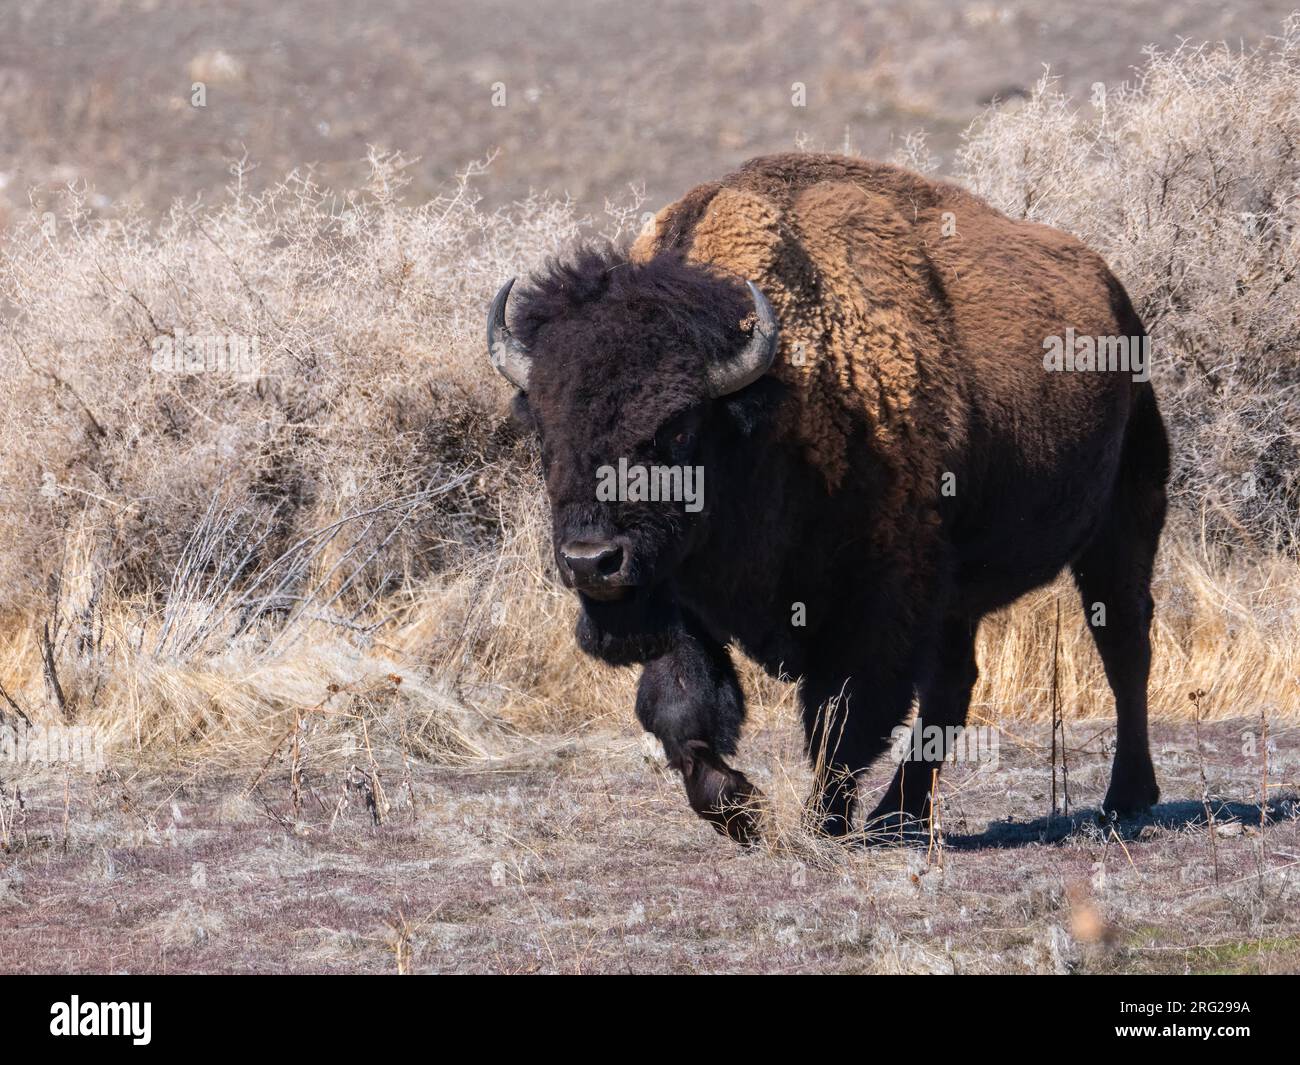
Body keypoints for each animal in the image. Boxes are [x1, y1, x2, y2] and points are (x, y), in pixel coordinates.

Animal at [487, 153, 1169, 843]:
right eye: (541, 426)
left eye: (677, 426)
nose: (591, 562)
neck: (768, 408)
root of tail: (1117, 298)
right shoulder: (675, 597)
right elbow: (679, 706)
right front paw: (741, 809)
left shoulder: (877, 597)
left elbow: (843, 716)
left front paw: (822, 822)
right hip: (963, 593)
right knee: (956, 683)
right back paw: (899, 815)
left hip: (1123, 524)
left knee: (1124, 648)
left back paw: (1125, 798)